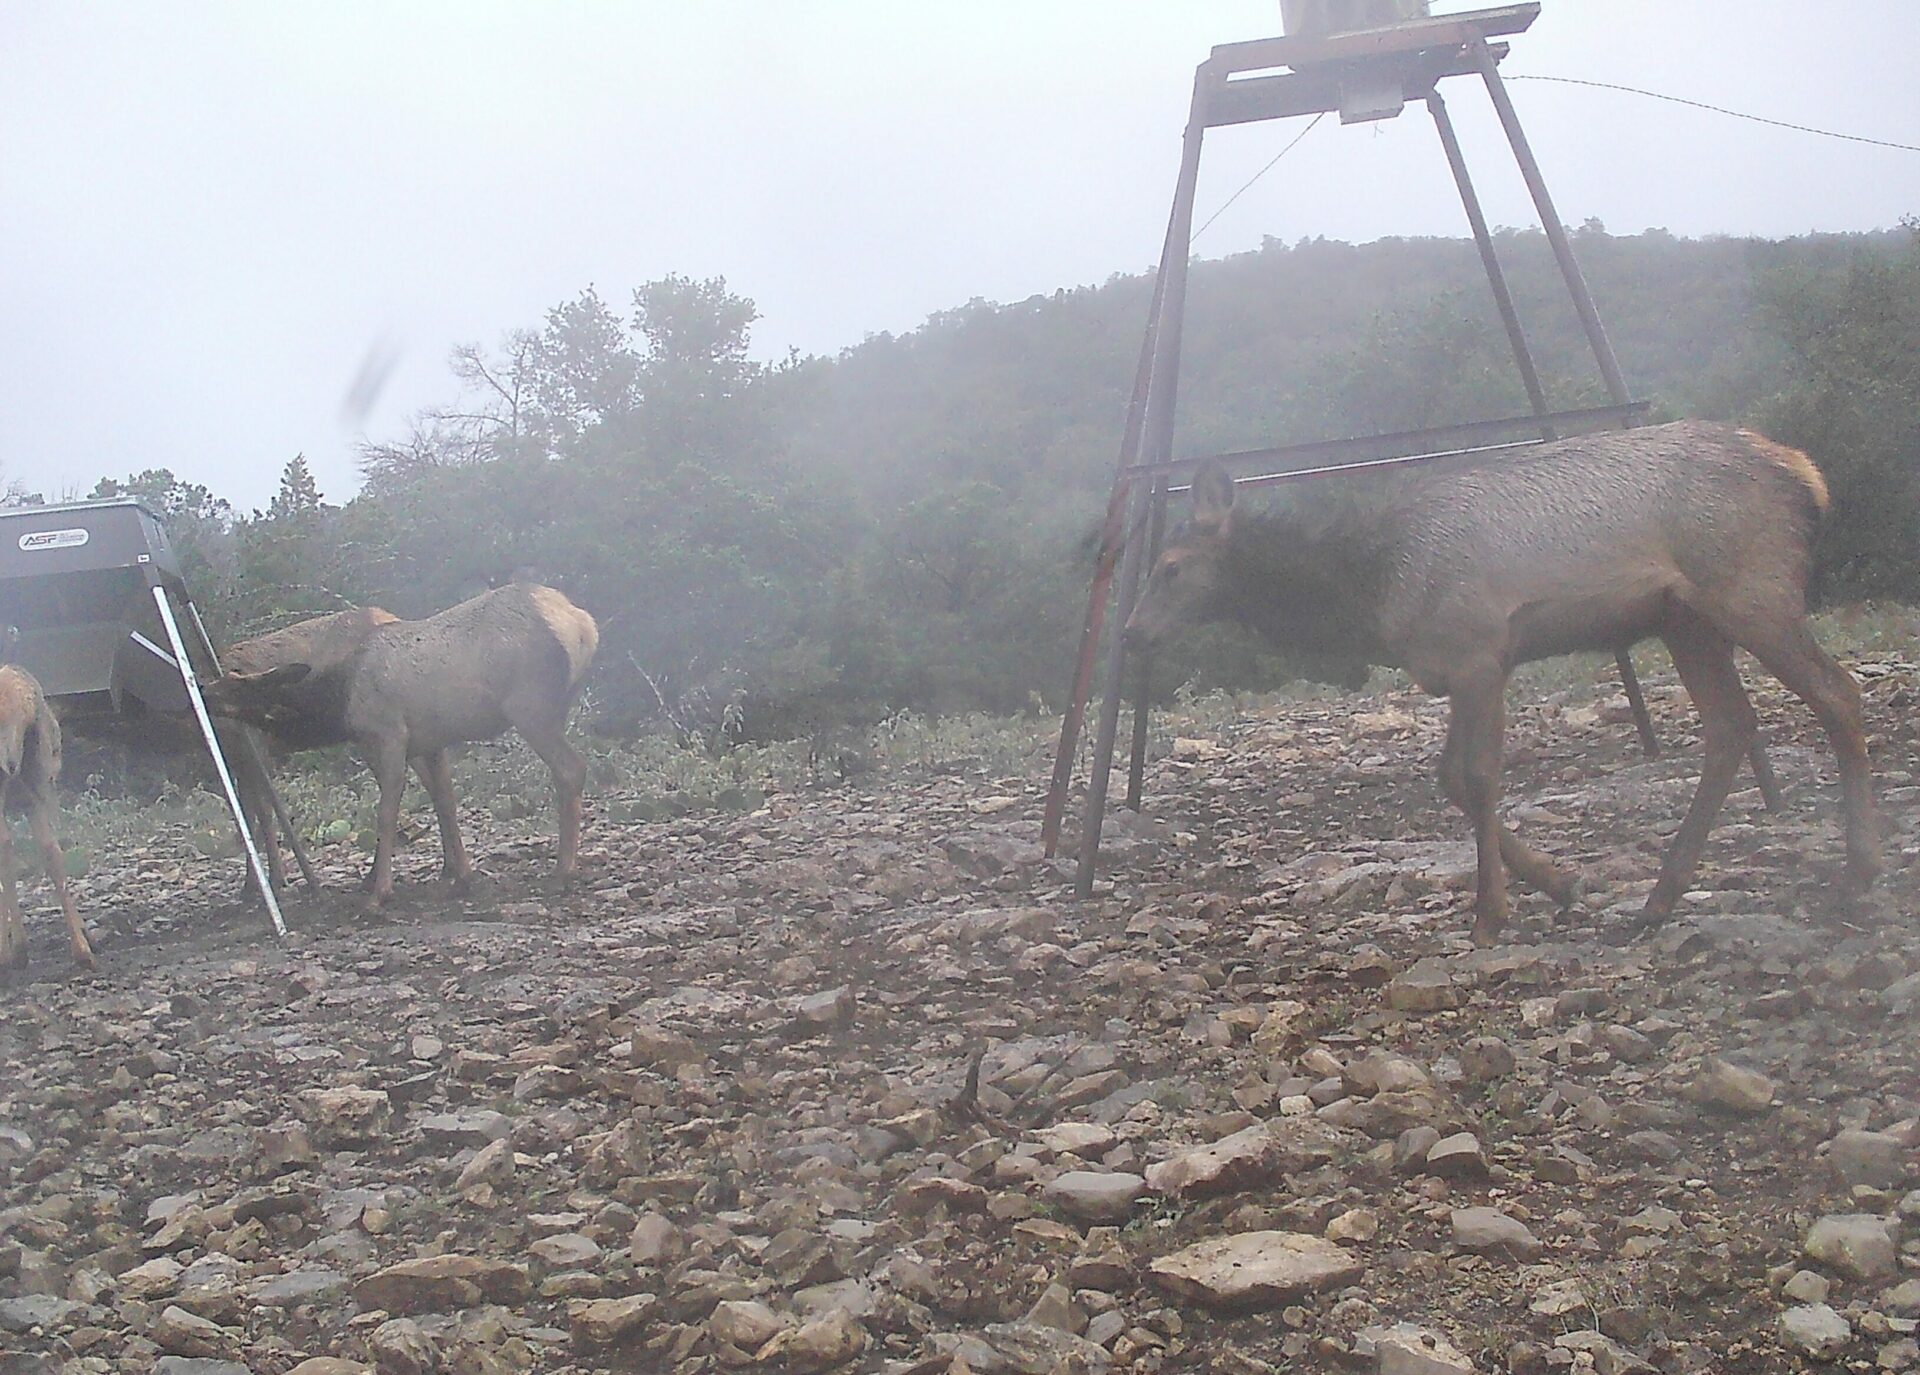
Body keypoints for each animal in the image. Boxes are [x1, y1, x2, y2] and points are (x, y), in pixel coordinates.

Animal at [201, 584, 597, 907]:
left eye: (237, 686)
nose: (202, 688)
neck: (339, 702)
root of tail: (584, 626)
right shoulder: (431, 743)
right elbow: (445, 802)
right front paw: (462, 877)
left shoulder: (388, 736)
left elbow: (387, 812)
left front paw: (379, 892)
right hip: (555, 708)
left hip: (530, 709)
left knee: (571, 768)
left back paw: (562, 872)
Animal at [1122, 420, 1882, 945]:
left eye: (1170, 568)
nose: (1131, 633)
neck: (1368, 592)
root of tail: (1806, 475)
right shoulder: (1460, 667)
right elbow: (1451, 778)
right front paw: (1560, 881)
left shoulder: (1480, 652)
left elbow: (1481, 776)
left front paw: (1490, 913)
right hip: (1685, 619)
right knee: (1730, 725)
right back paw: (1658, 898)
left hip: (1750, 590)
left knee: (1838, 692)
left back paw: (1860, 871)